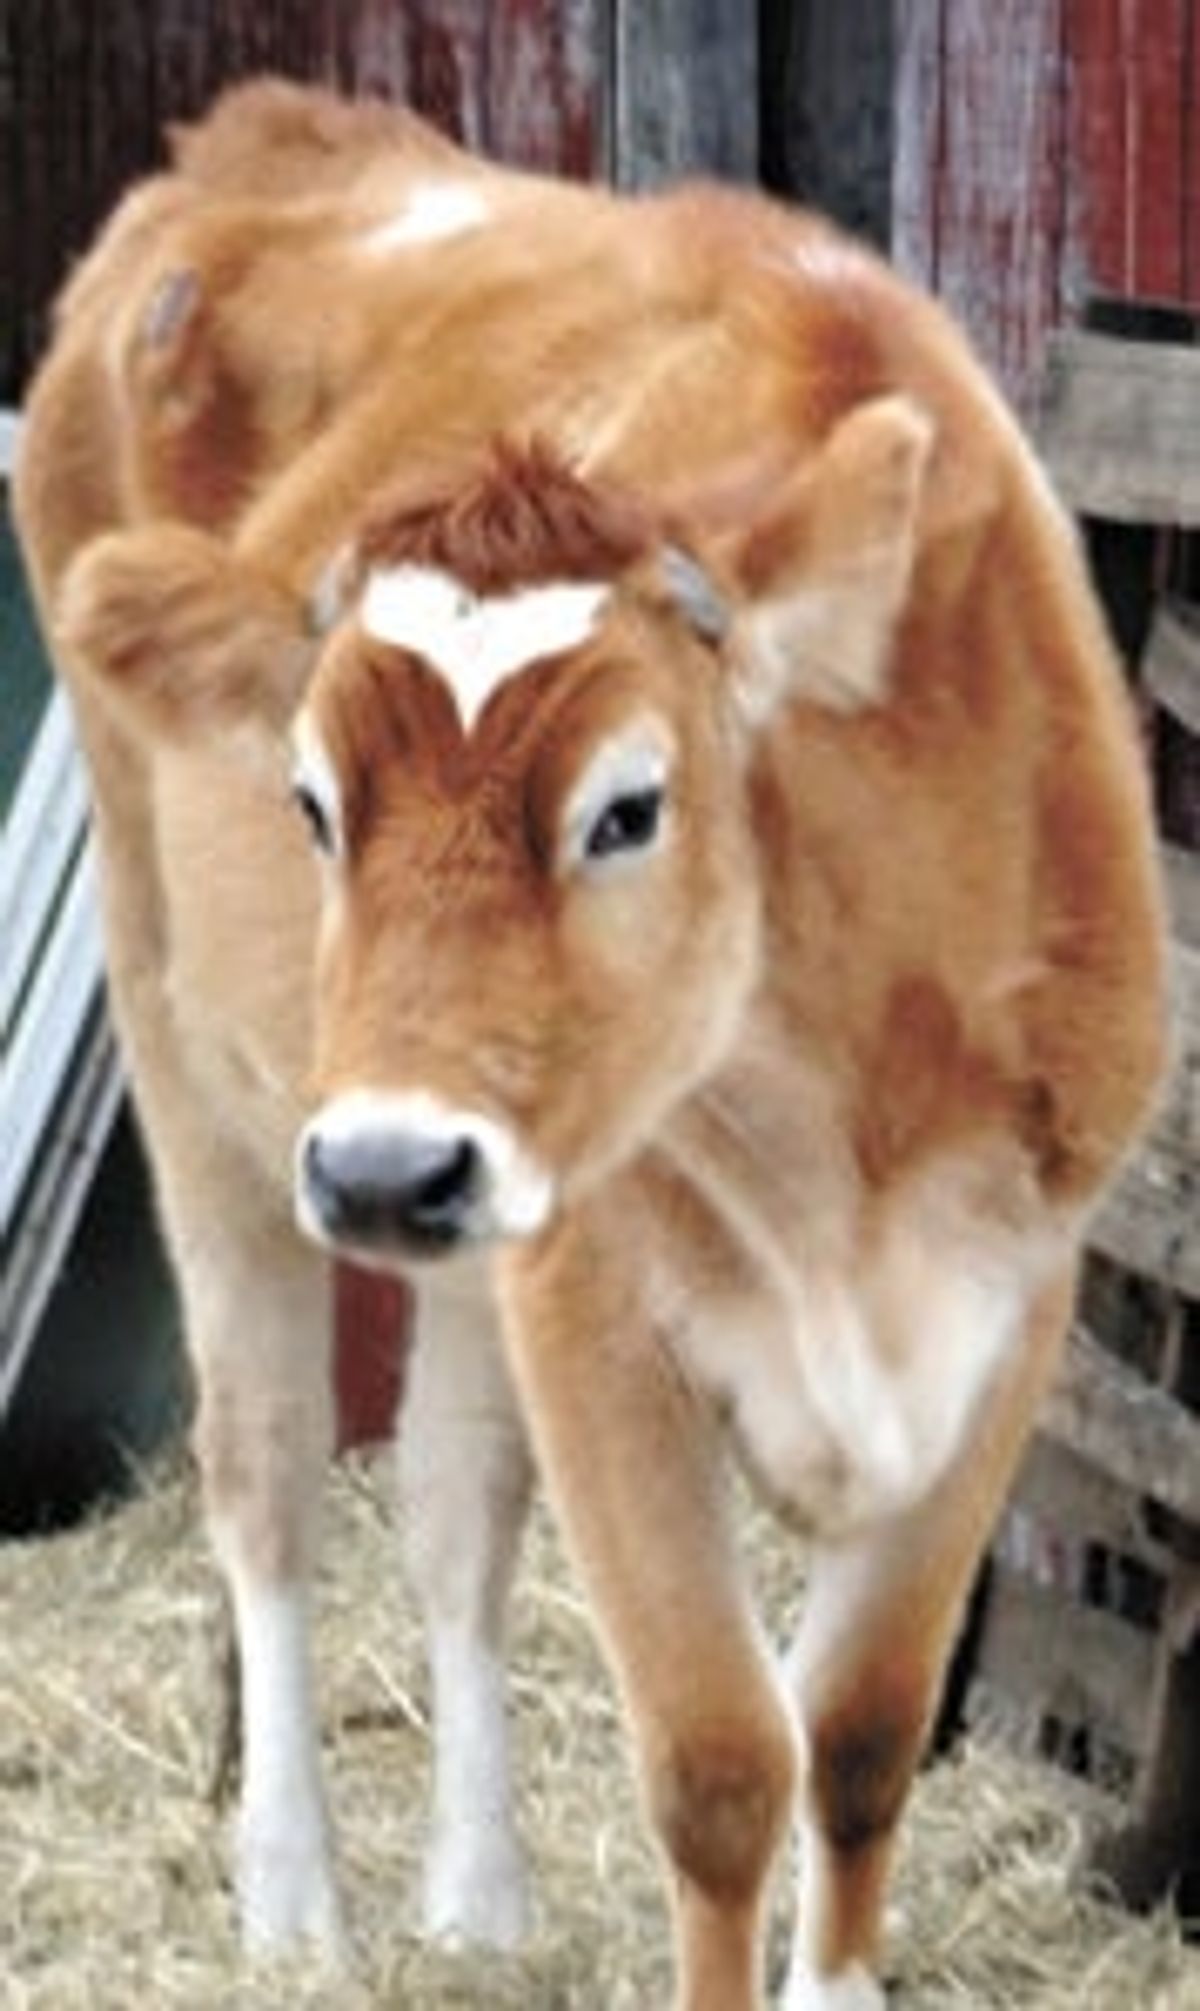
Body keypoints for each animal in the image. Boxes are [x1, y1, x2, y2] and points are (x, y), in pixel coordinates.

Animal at [15, 80, 1165, 2011]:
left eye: (630, 808)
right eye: (311, 805)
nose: (384, 1162)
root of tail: (268, 130)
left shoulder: (1012, 1302)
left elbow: (860, 1732)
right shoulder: (606, 1315)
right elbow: (720, 1761)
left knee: (456, 1505)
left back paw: (478, 1896)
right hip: (191, 1054)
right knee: (270, 1466)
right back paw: (295, 1899)